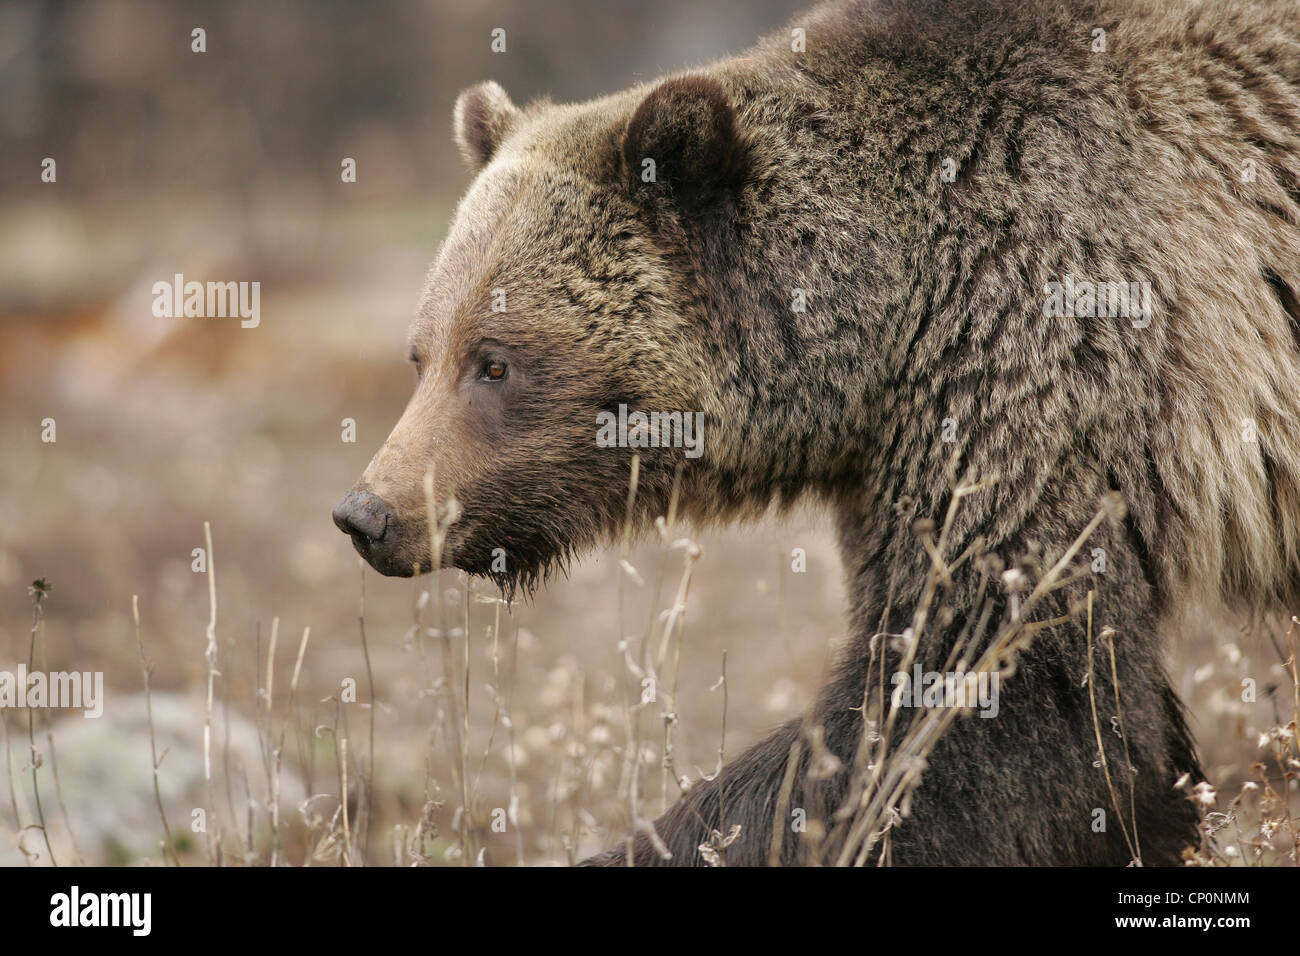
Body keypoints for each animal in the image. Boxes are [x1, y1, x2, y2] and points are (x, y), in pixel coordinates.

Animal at [333, 0, 1300, 865]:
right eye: (422, 353)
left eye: (493, 362)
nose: (369, 512)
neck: (892, 320)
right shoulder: (894, 452)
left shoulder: (1042, 356)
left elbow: (991, 691)